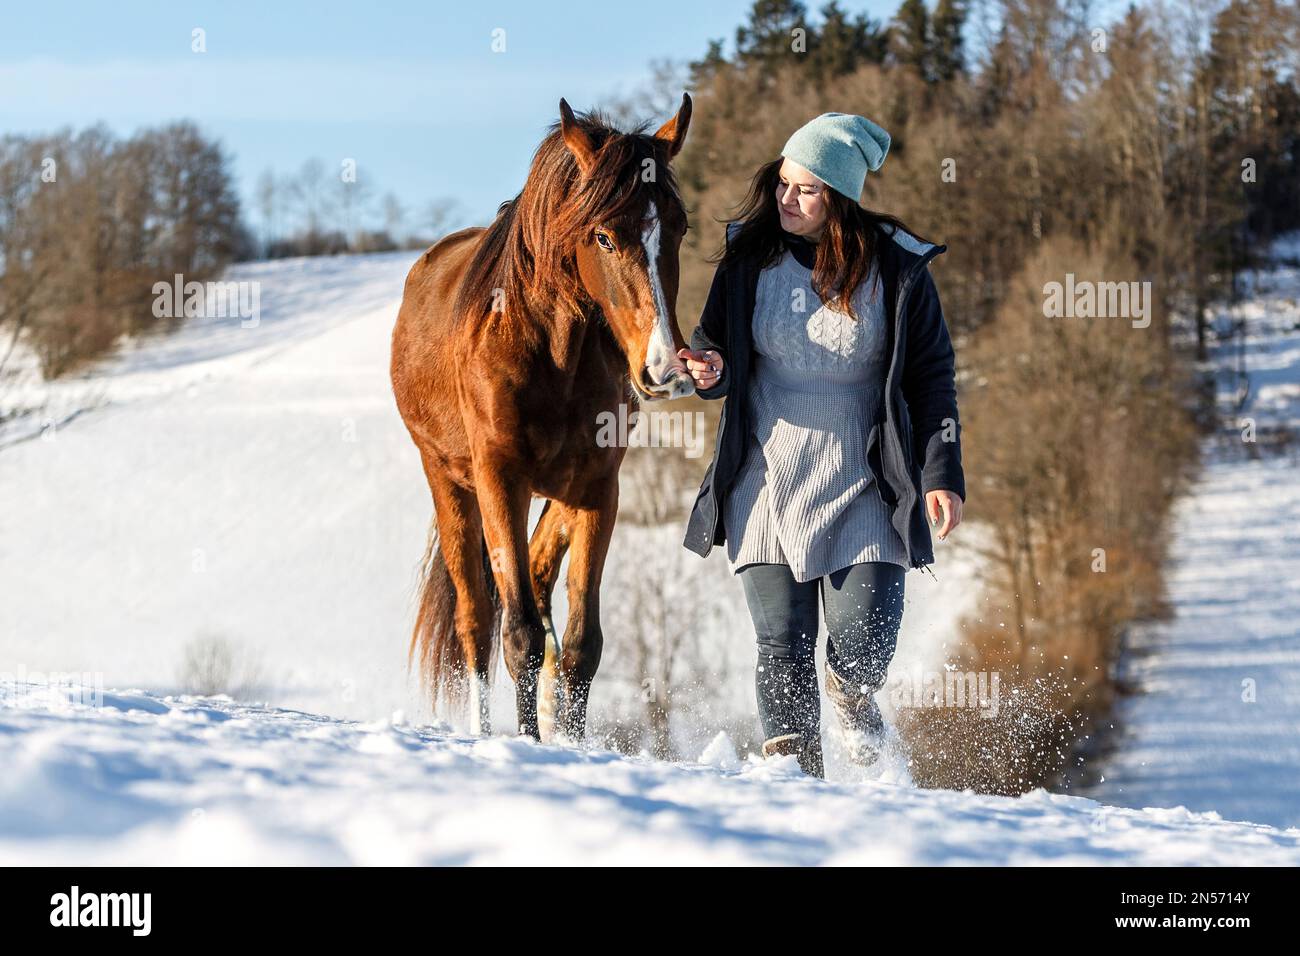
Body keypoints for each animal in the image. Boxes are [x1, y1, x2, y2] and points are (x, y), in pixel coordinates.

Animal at [391, 95, 695, 742]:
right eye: (603, 235)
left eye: (679, 226)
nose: (665, 366)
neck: (550, 350)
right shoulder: (500, 479)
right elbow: (520, 636)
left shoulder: (598, 488)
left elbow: (581, 644)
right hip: (450, 482)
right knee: (477, 620)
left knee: (532, 575)